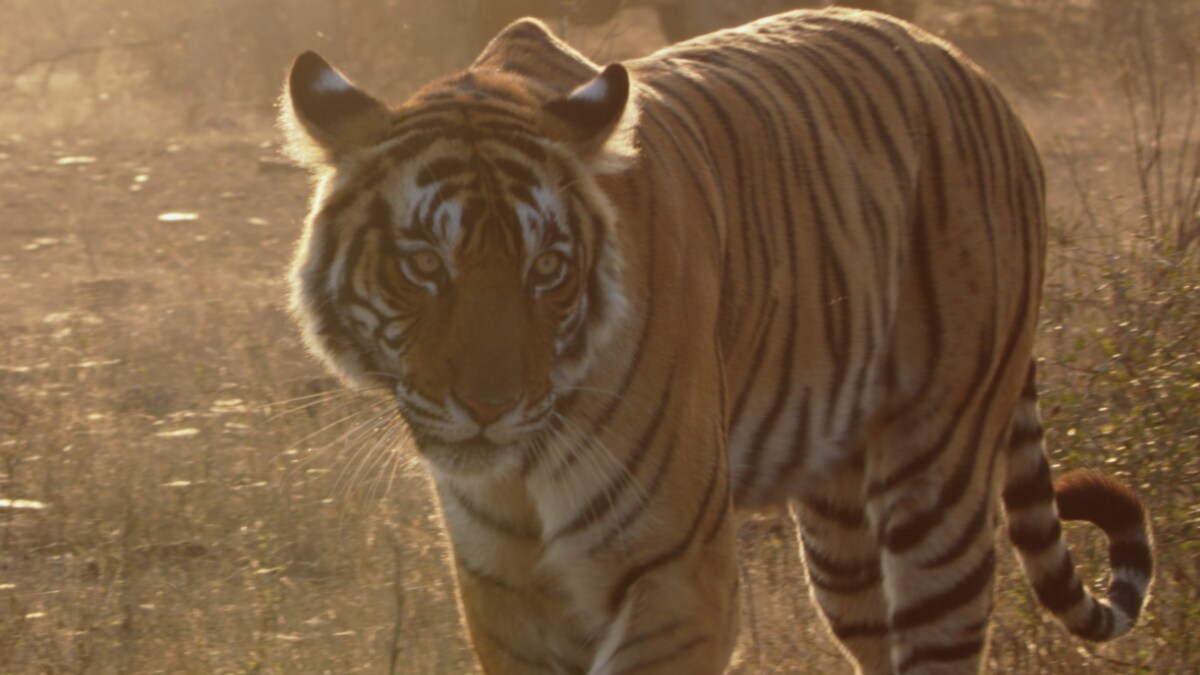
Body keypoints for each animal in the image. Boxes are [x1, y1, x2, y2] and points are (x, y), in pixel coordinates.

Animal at [280, 8, 1153, 674]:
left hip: (939, 474)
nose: (490, 408)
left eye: (548, 269)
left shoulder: (678, 573)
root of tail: (967, 65)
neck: (521, 469)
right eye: (426, 264)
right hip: (839, 529)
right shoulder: (503, 589)